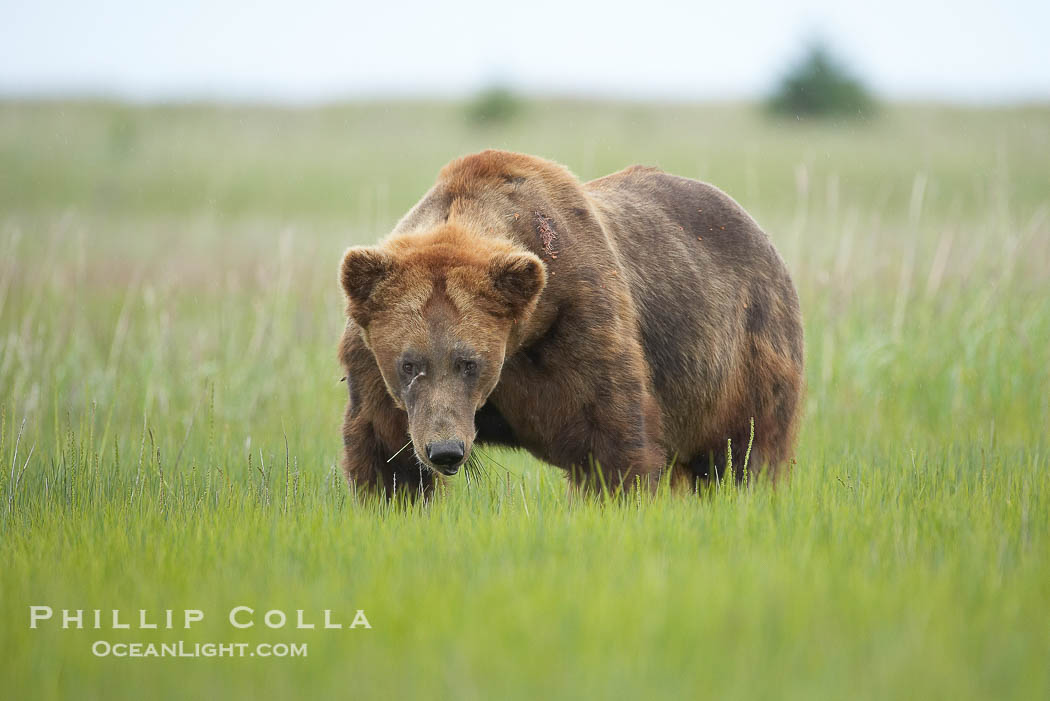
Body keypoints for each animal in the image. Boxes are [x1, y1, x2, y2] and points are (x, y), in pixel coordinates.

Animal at [338, 149, 803, 499]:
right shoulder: (371, 367)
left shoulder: (578, 320)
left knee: (745, 454)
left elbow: (613, 442)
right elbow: (384, 453)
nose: (446, 451)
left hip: (743, 353)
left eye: (469, 363)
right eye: (409, 364)